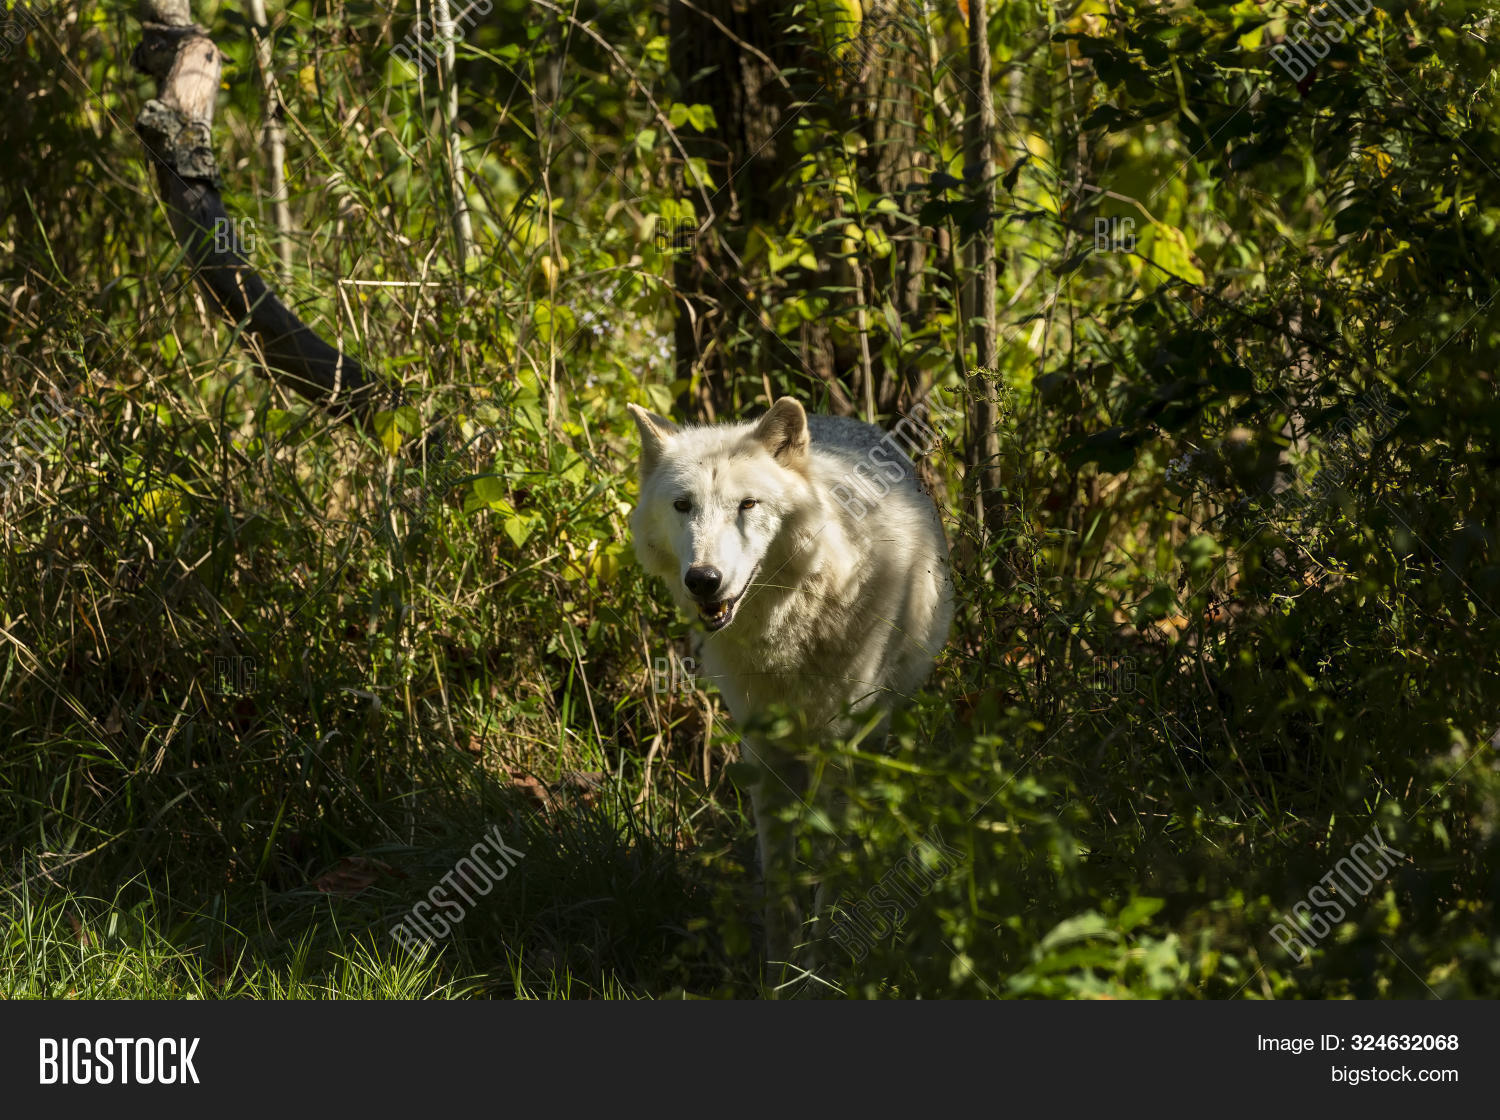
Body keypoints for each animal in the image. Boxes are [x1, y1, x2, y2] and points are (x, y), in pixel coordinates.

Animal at [627, 395, 954, 975]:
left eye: (747, 505)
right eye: (683, 506)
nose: (703, 580)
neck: (785, 631)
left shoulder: (838, 750)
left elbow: (828, 874)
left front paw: (819, 969)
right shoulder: (763, 751)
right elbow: (780, 882)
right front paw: (778, 971)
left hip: (874, 733)